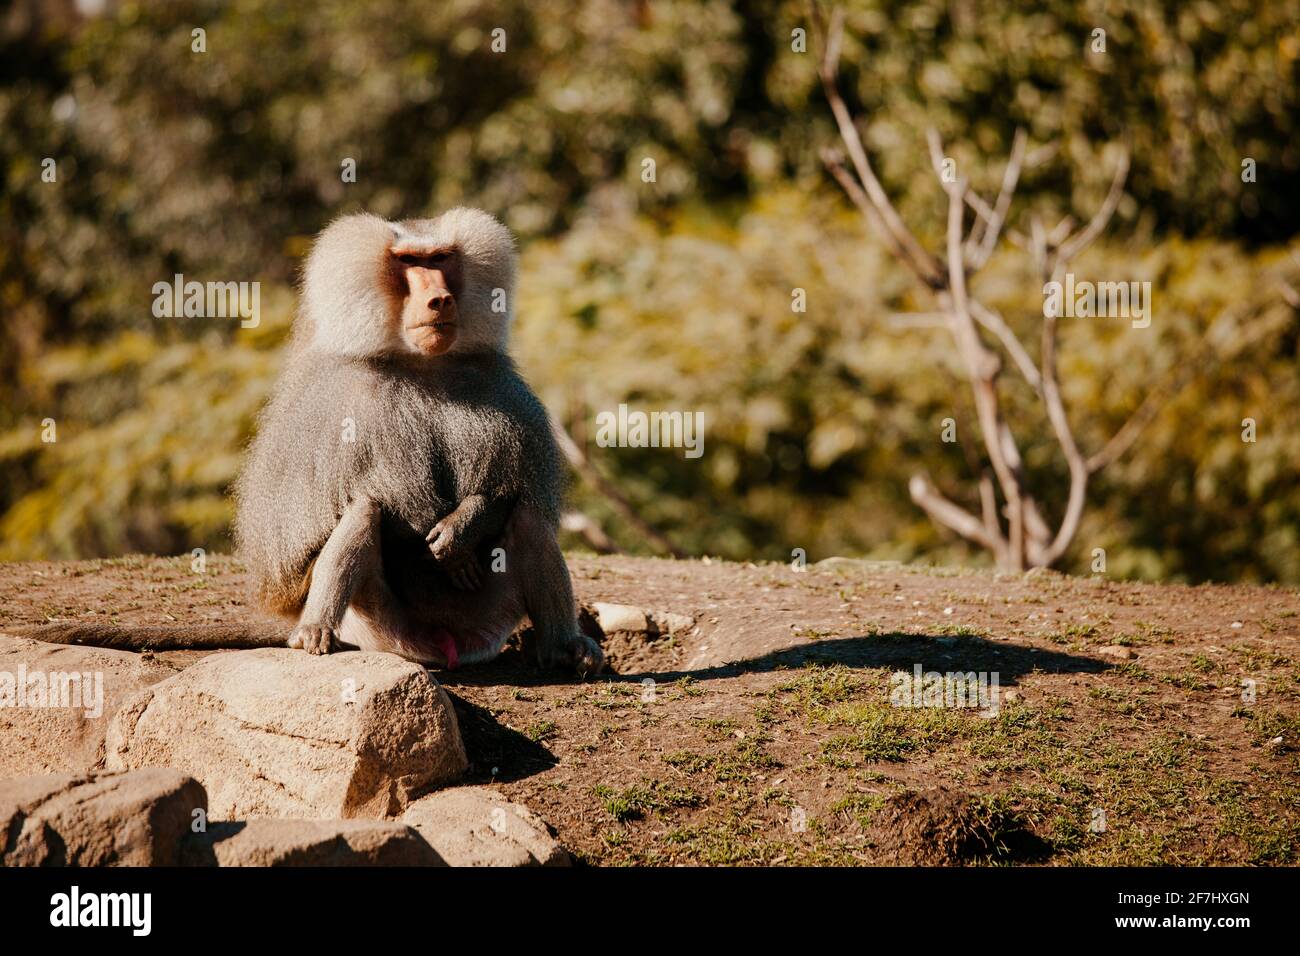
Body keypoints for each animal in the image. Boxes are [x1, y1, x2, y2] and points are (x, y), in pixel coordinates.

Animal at [21, 208, 604, 677]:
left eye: (441, 258)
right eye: (406, 263)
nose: (439, 299)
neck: (422, 365)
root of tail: (446, 648)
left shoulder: (504, 391)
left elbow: (509, 492)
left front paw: (464, 527)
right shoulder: (333, 404)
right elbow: (338, 526)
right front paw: (429, 527)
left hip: (490, 621)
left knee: (526, 519)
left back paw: (565, 649)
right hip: (382, 629)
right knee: (365, 511)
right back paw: (315, 632)